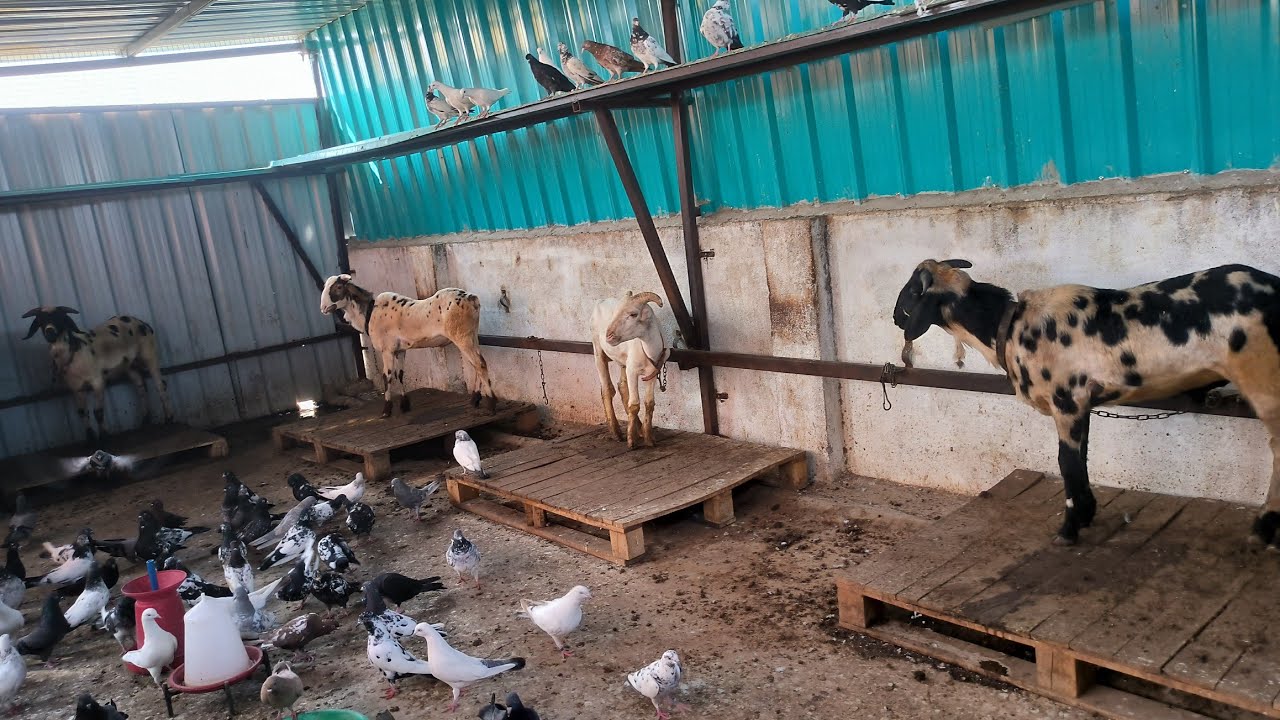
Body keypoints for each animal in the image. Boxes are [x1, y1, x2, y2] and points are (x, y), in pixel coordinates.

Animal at [21, 306, 172, 440]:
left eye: (60, 318)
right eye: (40, 321)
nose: (50, 332)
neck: (74, 351)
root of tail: (141, 322)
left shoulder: (97, 381)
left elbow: (98, 412)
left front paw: (104, 435)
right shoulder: (76, 388)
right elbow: (82, 412)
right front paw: (90, 437)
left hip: (149, 354)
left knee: (160, 384)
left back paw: (168, 418)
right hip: (130, 366)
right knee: (141, 387)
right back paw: (145, 420)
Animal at [319, 274, 496, 417]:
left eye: (338, 287)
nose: (323, 308)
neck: (369, 312)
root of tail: (472, 298)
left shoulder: (387, 350)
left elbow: (387, 376)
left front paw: (386, 410)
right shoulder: (400, 350)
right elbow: (400, 374)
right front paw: (404, 405)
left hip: (461, 336)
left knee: (479, 364)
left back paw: (491, 404)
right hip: (472, 335)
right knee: (477, 363)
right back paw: (475, 399)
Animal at [591, 291, 671, 449]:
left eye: (633, 314)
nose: (609, 335)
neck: (648, 349)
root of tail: (600, 301)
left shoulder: (652, 373)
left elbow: (649, 403)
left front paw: (649, 438)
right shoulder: (632, 371)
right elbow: (634, 404)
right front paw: (631, 442)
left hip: (623, 361)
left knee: (622, 386)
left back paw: (638, 429)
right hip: (597, 348)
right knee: (607, 389)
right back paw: (616, 432)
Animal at [892, 259, 1280, 547]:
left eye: (911, 290)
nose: (894, 317)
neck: (1007, 327)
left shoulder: (1066, 400)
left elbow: (1067, 463)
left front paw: (1069, 527)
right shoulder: (1083, 404)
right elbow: (1083, 457)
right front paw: (1087, 512)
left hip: (1264, 380)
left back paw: (1264, 530)